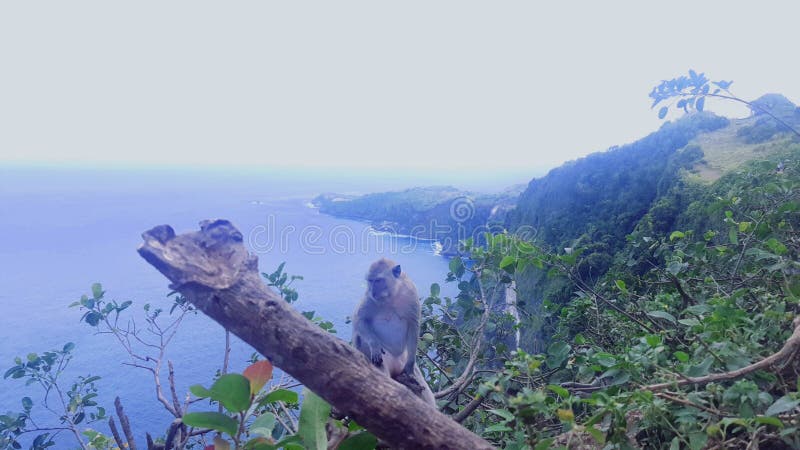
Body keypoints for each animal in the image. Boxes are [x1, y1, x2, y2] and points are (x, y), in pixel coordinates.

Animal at [352, 258, 436, 406]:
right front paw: (375, 346)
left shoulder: (411, 293)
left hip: (403, 359)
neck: (392, 296)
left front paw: (410, 366)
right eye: (370, 281)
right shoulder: (368, 299)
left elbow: (414, 324)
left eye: (378, 280)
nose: (372, 291)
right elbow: (359, 320)